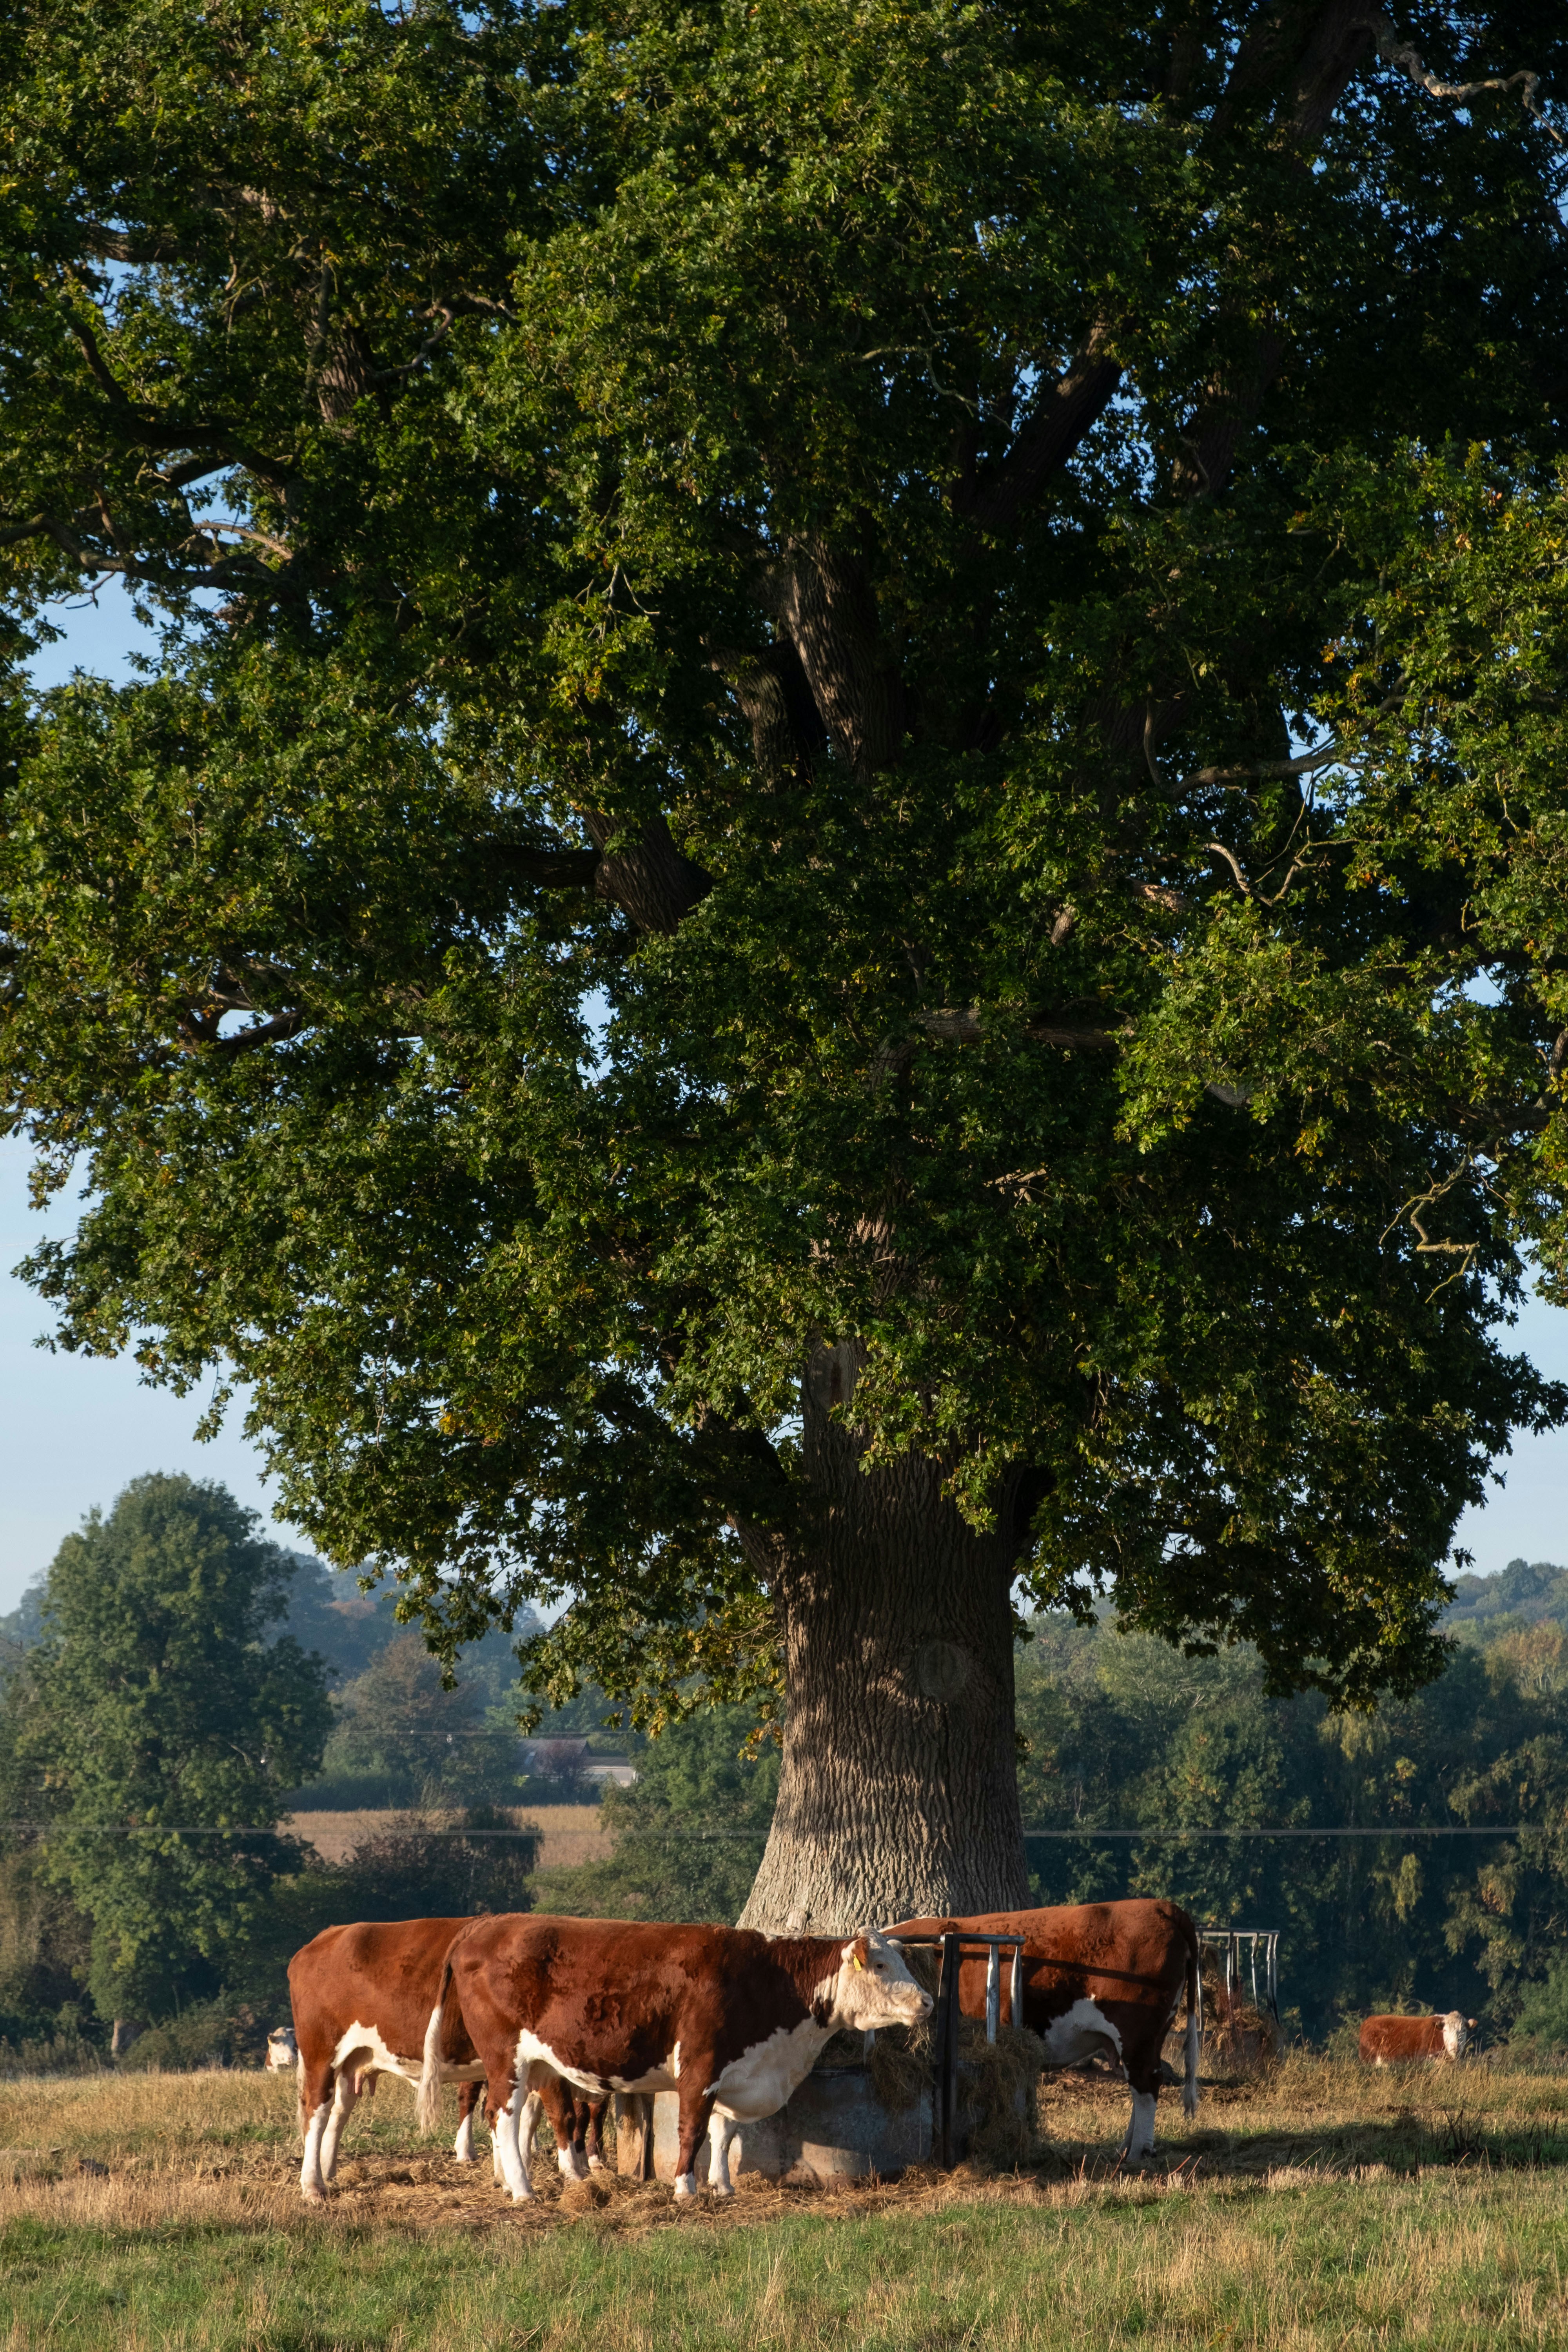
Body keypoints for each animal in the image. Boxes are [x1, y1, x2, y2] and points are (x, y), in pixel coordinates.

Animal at [288, 1917, 605, 2201]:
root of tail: (329, 1934)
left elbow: (532, 2117)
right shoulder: (545, 2062)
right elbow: (561, 2115)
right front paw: (574, 2175)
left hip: (351, 2061)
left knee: (339, 2111)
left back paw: (327, 2170)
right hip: (322, 2052)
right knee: (317, 2110)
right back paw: (313, 2186)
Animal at [417, 1915, 933, 2201]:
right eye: (881, 1965)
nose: (928, 2002)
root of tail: (483, 1927)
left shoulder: (735, 2069)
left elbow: (725, 2133)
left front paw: (723, 2186)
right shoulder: (700, 2065)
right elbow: (694, 2130)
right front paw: (686, 2189)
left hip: (537, 2061)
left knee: (515, 2118)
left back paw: (510, 2181)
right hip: (505, 2058)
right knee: (502, 2116)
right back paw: (524, 2192)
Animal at [888, 1900, 1201, 2160]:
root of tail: (1160, 1906)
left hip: (1135, 2033)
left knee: (1146, 2083)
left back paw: (1137, 2154)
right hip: (1151, 2035)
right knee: (1141, 2084)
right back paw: (1125, 2148)